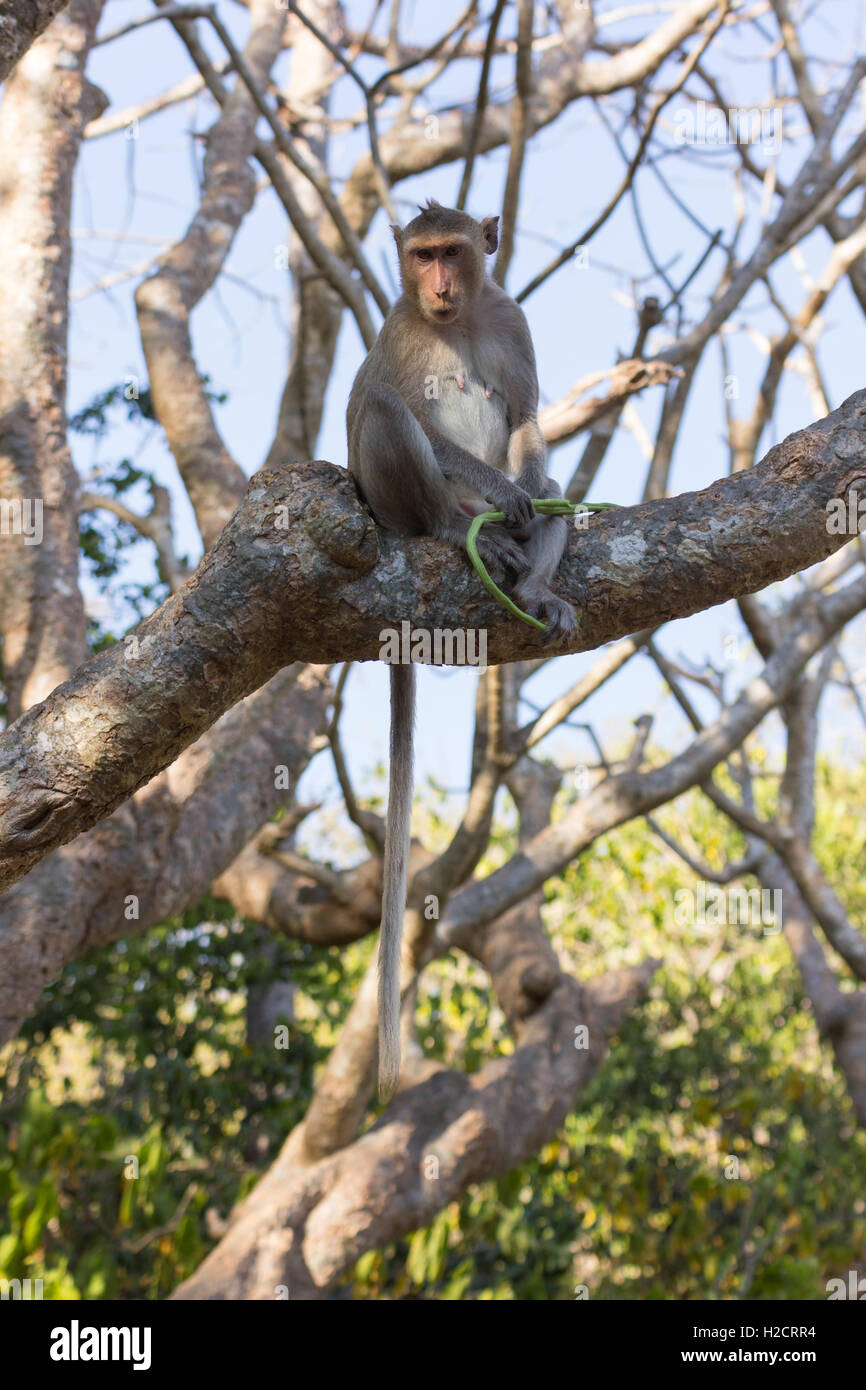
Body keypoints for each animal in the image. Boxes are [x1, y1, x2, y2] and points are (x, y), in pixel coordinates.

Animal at [347, 199, 576, 1102]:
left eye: (453, 252)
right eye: (420, 256)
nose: (438, 284)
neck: (459, 319)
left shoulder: (509, 319)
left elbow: (526, 419)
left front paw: (529, 494)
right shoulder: (398, 324)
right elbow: (384, 400)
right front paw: (504, 494)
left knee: (551, 488)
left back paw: (536, 578)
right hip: (393, 507)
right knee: (385, 412)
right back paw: (456, 526)